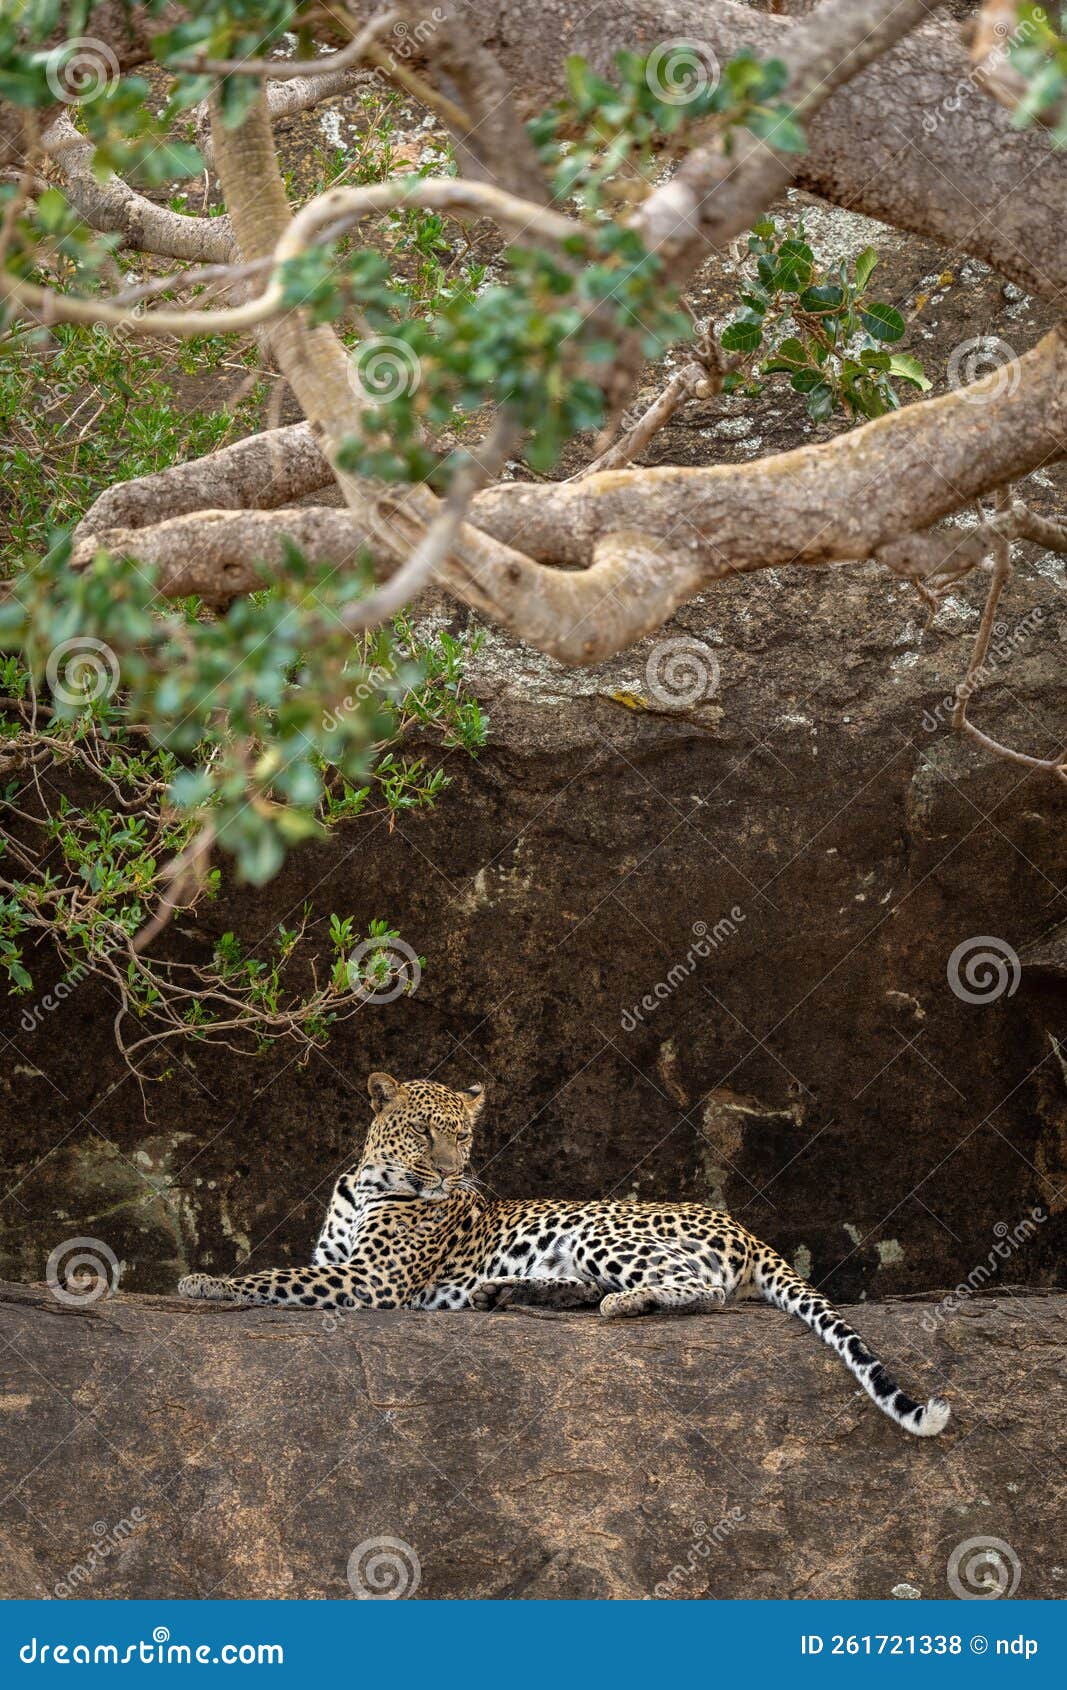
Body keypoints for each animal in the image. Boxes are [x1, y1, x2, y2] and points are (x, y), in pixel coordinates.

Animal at [179, 1072, 950, 1437]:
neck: (369, 1180)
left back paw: (623, 1301)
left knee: (694, 1287)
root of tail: (745, 1226)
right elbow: (291, 1269)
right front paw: (208, 1281)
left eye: (463, 1135)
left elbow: (277, 1276)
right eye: (424, 1131)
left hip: (595, 1232)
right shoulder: (342, 1262)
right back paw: (507, 1293)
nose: (450, 1174)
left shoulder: (371, 1281)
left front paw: (204, 1283)